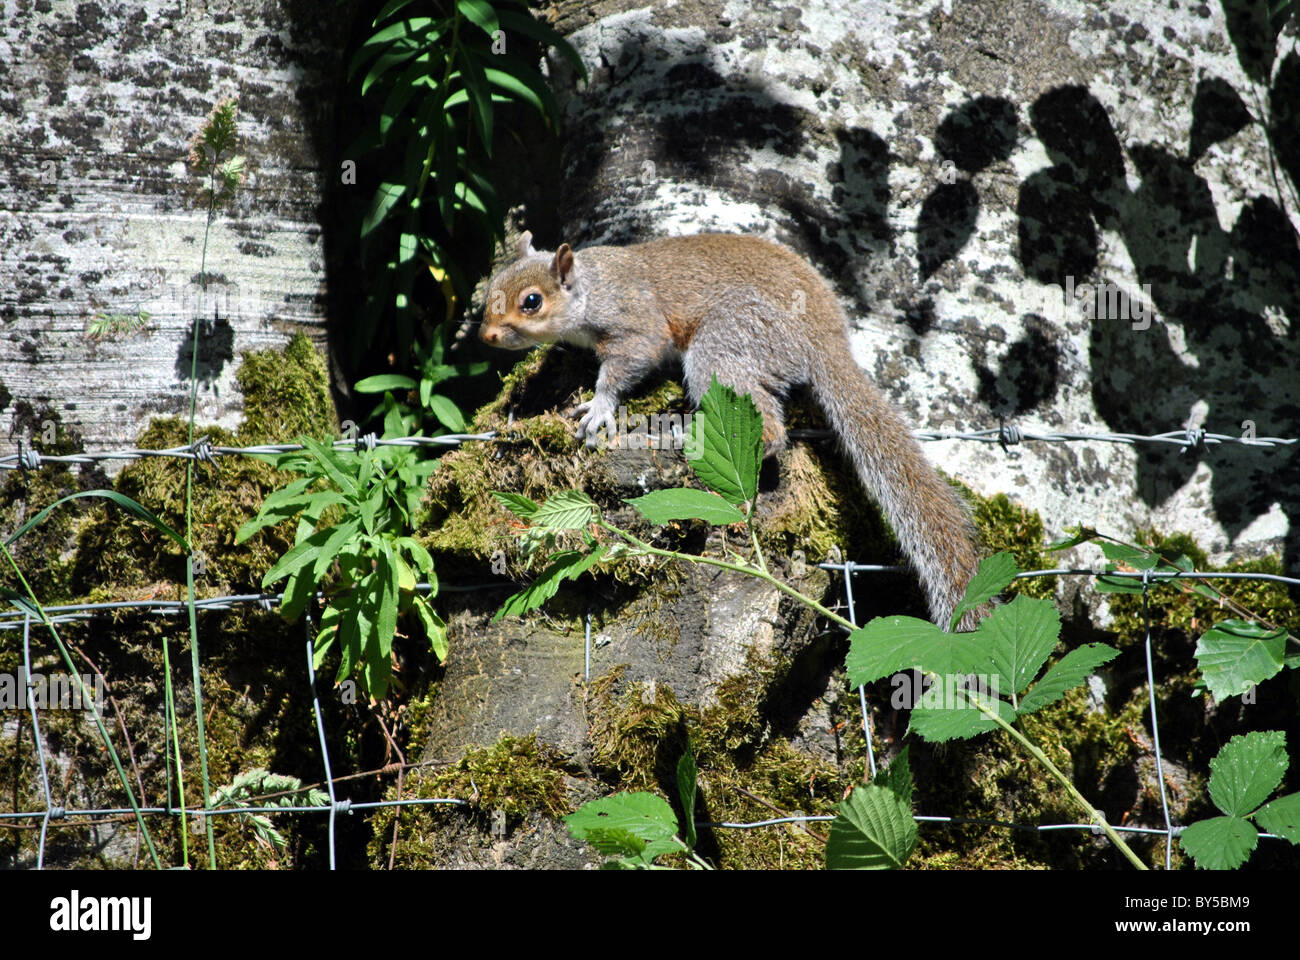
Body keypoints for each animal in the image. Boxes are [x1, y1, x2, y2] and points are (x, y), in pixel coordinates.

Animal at [480, 231, 983, 631]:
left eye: (532, 301)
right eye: (489, 293)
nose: (486, 337)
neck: (591, 285)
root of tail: (828, 342)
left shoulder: (634, 322)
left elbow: (631, 359)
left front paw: (599, 407)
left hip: (729, 341)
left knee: (771, 429)